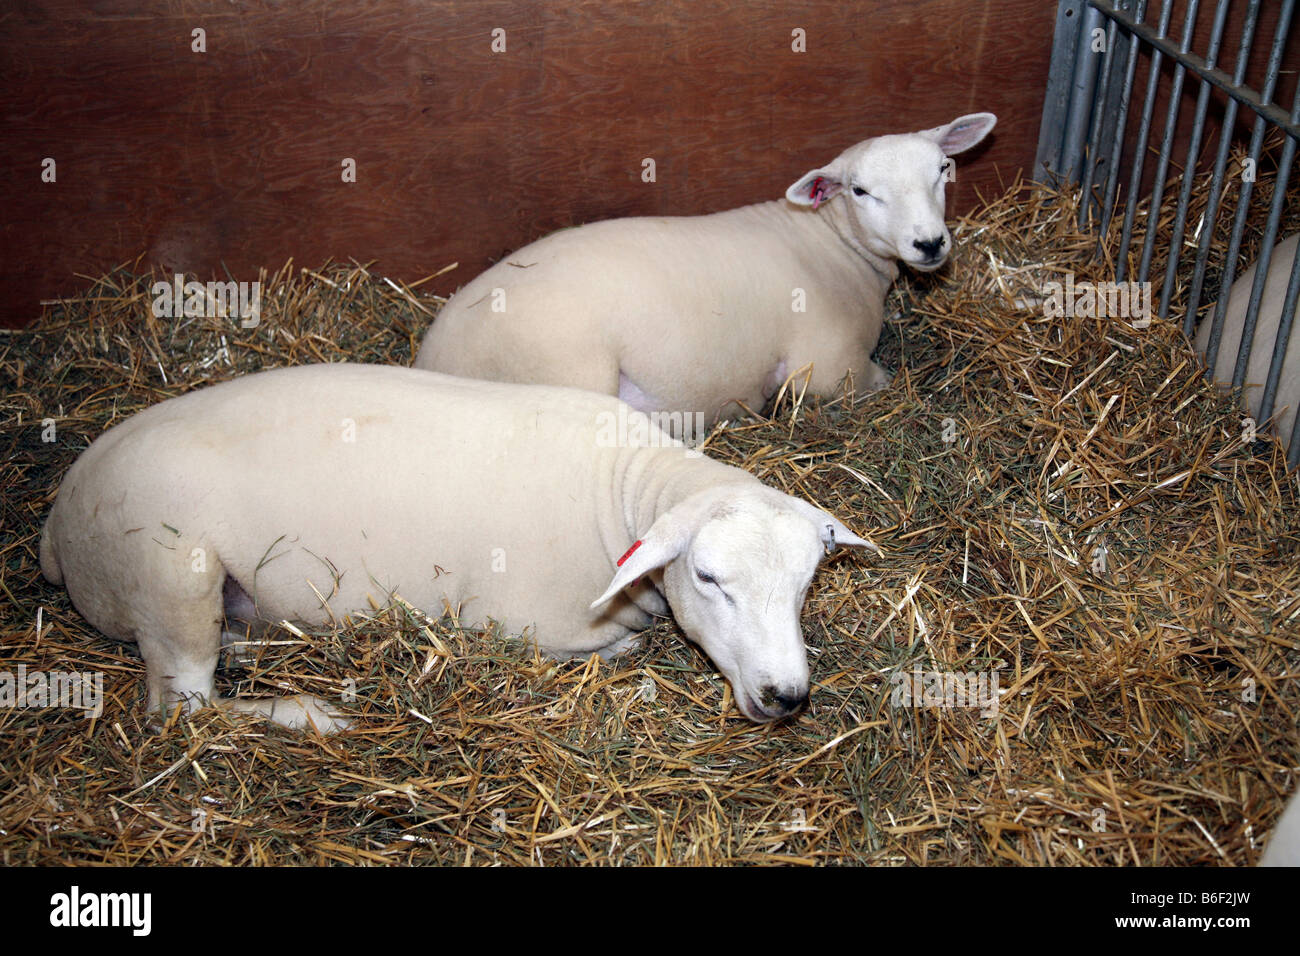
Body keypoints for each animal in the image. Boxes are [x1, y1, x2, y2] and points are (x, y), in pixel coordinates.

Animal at [39, 363, 875, 732]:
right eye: (707, 577)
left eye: (806, 584)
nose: (787, 695)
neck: (622, 491)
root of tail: (55, 528)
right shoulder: (527, 626)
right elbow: (614, 649)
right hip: (169, 574)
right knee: (180, 709)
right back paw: (312, 714)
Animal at [414, 113, 997, 430]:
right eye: (859, 190)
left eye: (942, 169)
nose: (929, 243)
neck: (832, 242)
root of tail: (429, 358)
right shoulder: (829, 367)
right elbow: (880, 381)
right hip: (569, 374)